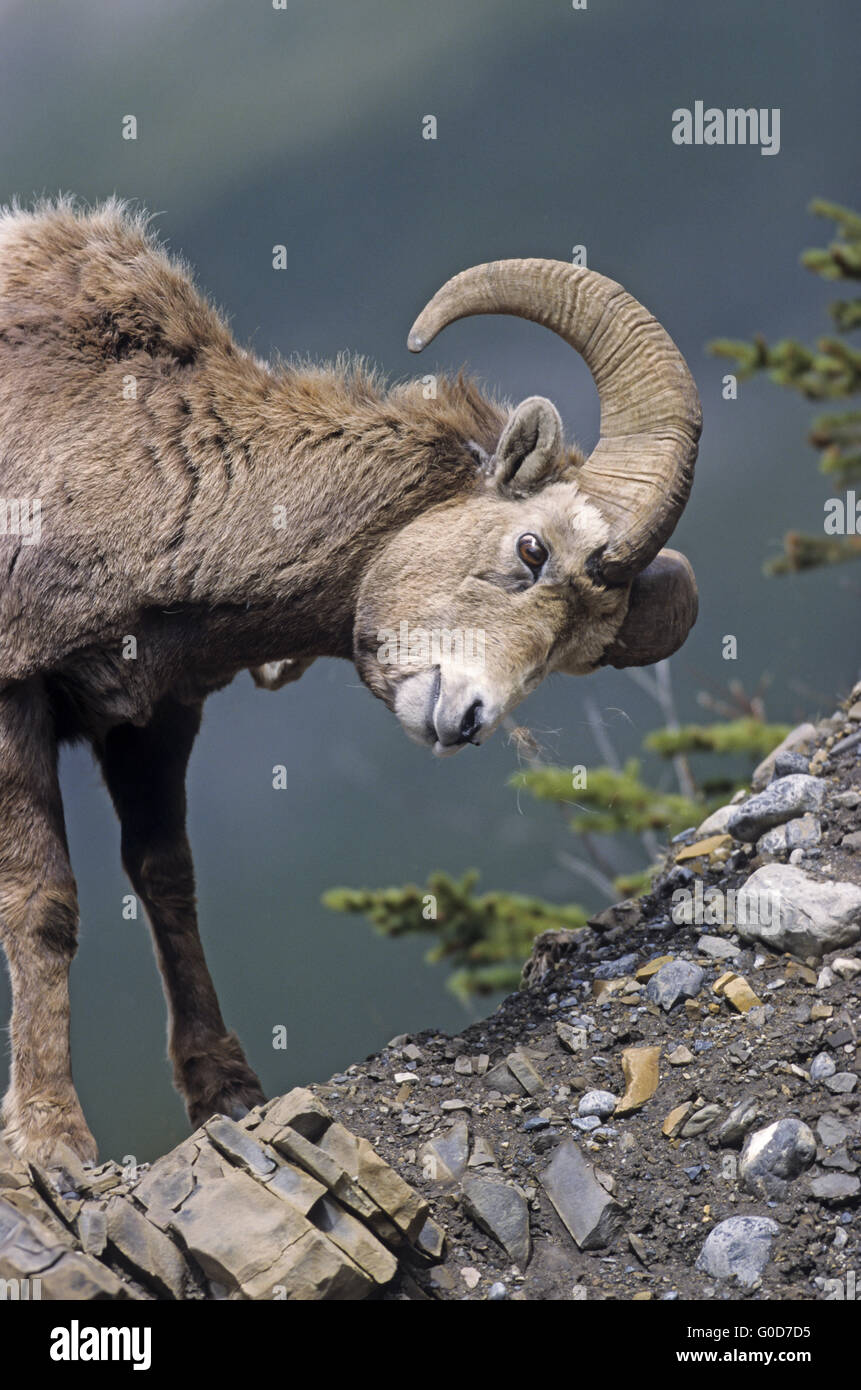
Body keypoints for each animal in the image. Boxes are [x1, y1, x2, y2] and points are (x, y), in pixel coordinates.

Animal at [0, 198, 701, 1171]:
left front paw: (226, 1092)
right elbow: (43, 907)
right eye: (530, 549)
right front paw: (48, 1147)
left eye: (574, 651)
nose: (466, 717)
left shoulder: (155, 716)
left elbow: (166, 878)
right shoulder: (14, 695)